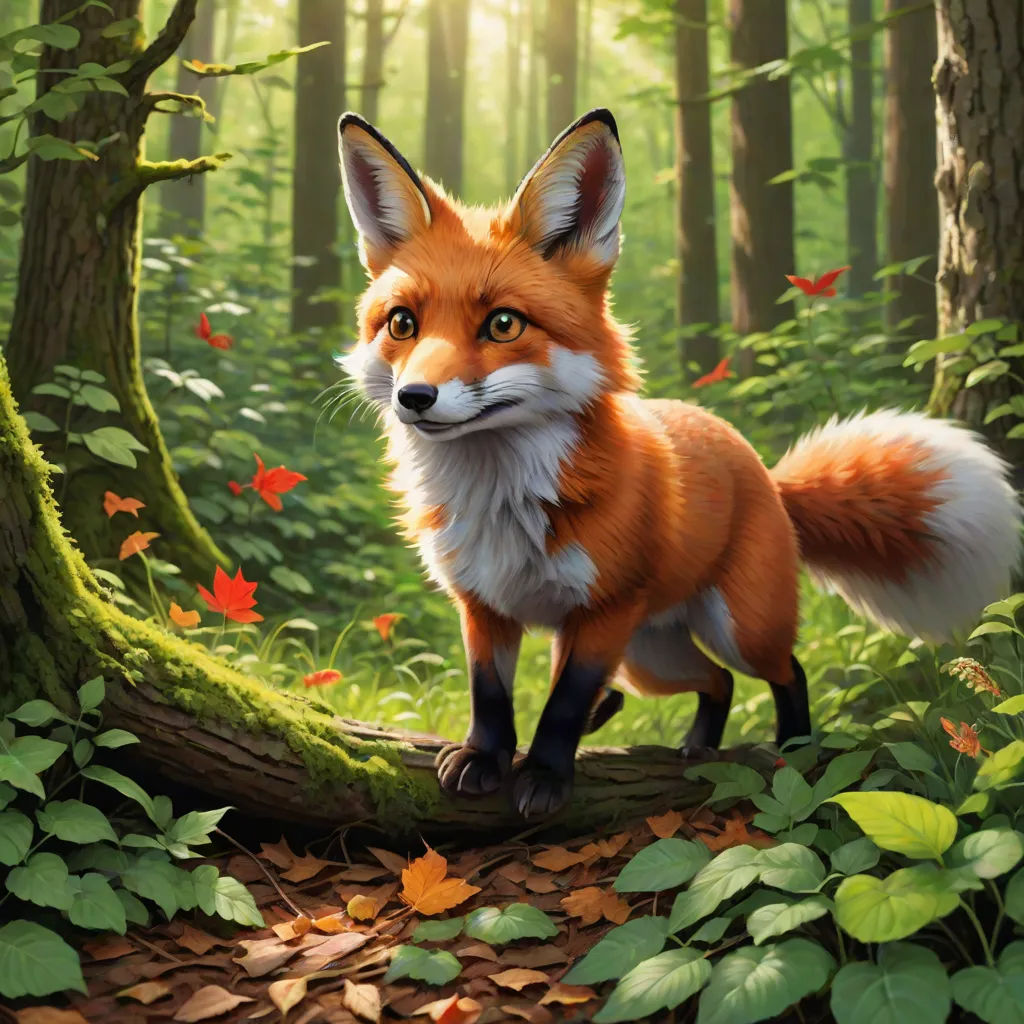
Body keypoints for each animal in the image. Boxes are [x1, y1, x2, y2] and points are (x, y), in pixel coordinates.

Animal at [335, 107, 1021, 819]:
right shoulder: (483, 607)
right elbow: (491, 695)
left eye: (502, 324)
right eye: (403, 324)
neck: (503, 501)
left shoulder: (603, 614)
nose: (416, 397)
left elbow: (563, 704)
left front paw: (547, 773)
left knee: (785, 671)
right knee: (713, 683)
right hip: (652, 655)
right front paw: (485, 757)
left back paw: (795, 749)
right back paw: (696, 745)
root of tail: (763, 471)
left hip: (734, 628)